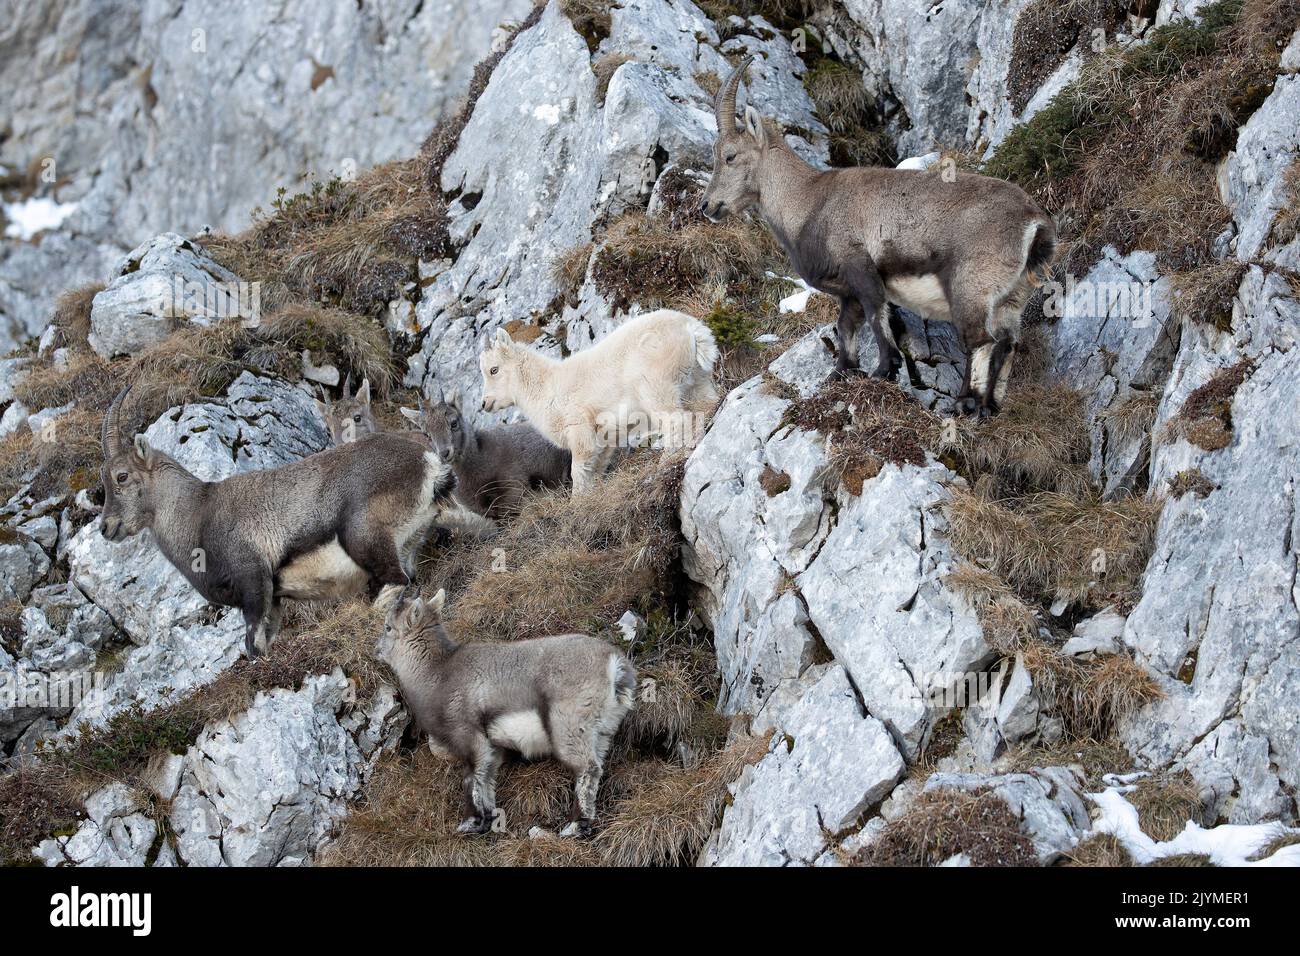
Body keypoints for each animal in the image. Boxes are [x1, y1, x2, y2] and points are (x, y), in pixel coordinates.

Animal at [98, 386, 455, 658]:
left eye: (122, 476)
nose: (105, 527)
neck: (197, 514)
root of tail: (429, 464)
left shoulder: (253, 583)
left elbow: (254, 646)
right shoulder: (275, 599)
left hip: (364, 537)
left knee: (394, 582)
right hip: (408, 541)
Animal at [378, 589, 636, 836]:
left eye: (388, 627)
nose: (376, 650)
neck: (437, 673)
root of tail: (615, 664)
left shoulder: (468, 734)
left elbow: (471, 777)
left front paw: (471, 822)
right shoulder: (493, 747)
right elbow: (487, 779)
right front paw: (488, 820)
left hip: (570, 727)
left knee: (587, 768)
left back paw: (574, 826)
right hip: (603, 732)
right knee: (597, 769)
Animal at [478, 309, 719, 491]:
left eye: (494, 369)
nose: (484, 403)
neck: (547, 387)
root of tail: (690, 329)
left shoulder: (579, 430)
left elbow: (578, 471)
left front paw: (576, 503)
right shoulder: (605, 438)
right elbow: (596, 470)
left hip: (656, 389)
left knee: (677, 421)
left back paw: (665, 463)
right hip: (696, 383)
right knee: (704, 408)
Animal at [701, 57, 1057, 416]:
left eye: (730, 155)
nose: (707, 205)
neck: (807, 201)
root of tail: (1034, 222)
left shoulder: (858, 263)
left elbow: (876, 312)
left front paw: (885, 368)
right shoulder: (847, 292)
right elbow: (846, 326)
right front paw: (840, 372)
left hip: (970, 286)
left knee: (981, 341)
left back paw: (965, 402)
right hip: (1012, 297)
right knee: (1007, 345)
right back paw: (991, 406)